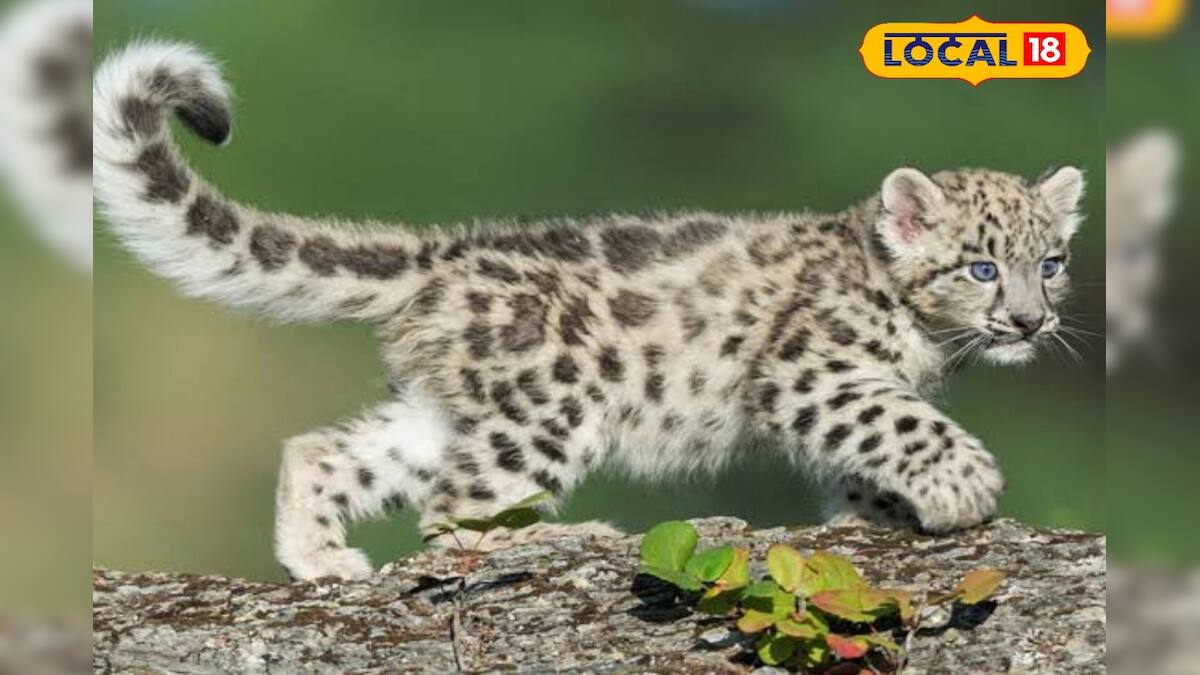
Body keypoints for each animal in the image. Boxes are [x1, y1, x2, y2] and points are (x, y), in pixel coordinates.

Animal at [93, 42, 1086, 580]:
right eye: (982, 267)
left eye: (1052, 263)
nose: (1031, 322)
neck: (927, 340)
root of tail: (443, 254)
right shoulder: (815, 369)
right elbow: (897, 420)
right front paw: (964, 486)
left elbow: (869, 451)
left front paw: (875, 514)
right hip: (549, 404)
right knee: (456, 512)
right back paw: (568, 536)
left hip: (453, 411)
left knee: (330, 452)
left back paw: (322, 560)